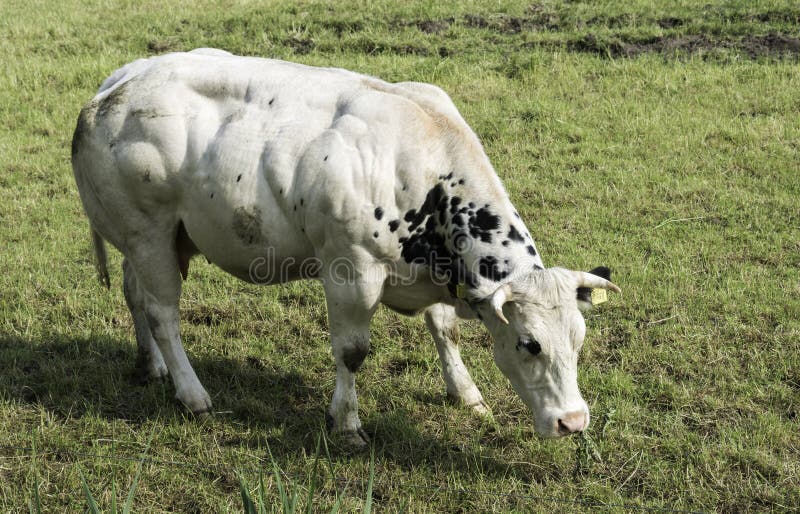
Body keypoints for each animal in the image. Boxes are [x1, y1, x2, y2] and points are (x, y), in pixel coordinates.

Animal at [72, 49, 620, 447]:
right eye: (530, 344)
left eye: (579, 339)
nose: (573, 422)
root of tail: (117, 87)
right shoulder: (350, 271)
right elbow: (353, 352)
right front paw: (348, 424)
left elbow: (445, 331)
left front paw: (466, 393)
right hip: (149, 231)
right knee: (163, 312)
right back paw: (192, 393)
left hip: (144, 239)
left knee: (135, 295)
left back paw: (152, 366)